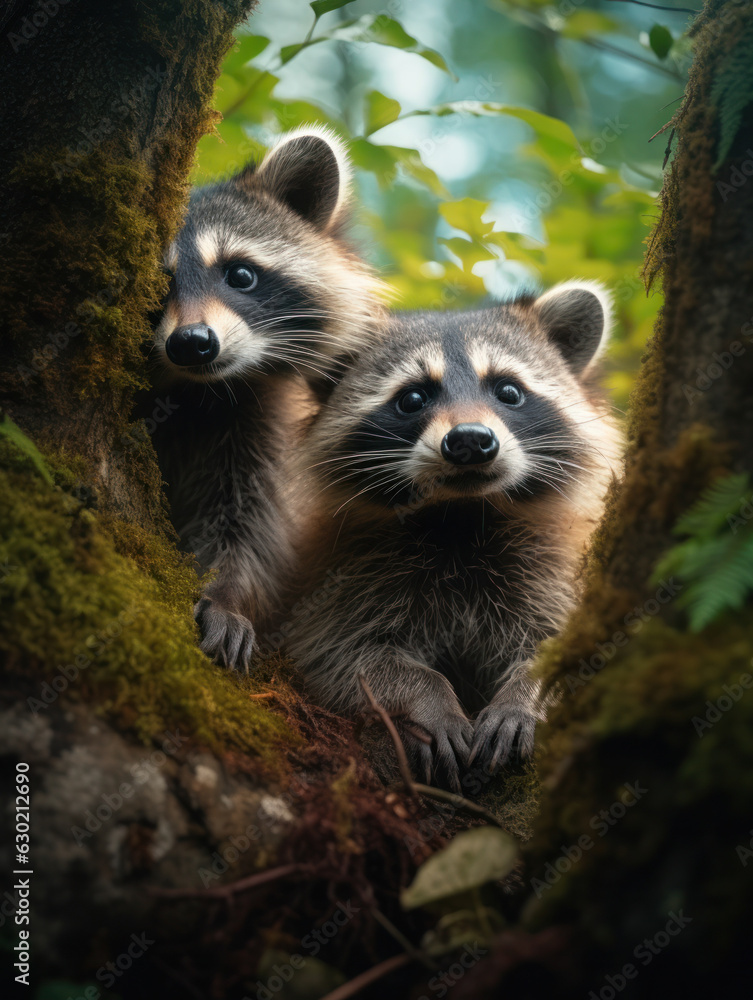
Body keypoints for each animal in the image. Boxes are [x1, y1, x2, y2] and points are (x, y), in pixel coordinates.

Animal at [148, 127, 384, 670]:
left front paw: (228, 595)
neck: (199, 391)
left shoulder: (262, 420)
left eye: (239, 275)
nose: (191, 343)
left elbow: (250, 524)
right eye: (158, 284)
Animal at [284, 283, 621, 790]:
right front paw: (430, 700)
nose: (470, 440)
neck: (461, 514)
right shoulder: (346, 575)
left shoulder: (551, 569)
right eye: (413, 398)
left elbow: (566, 646)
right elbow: (343, 654)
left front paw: (525, 692)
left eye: (508, 391)